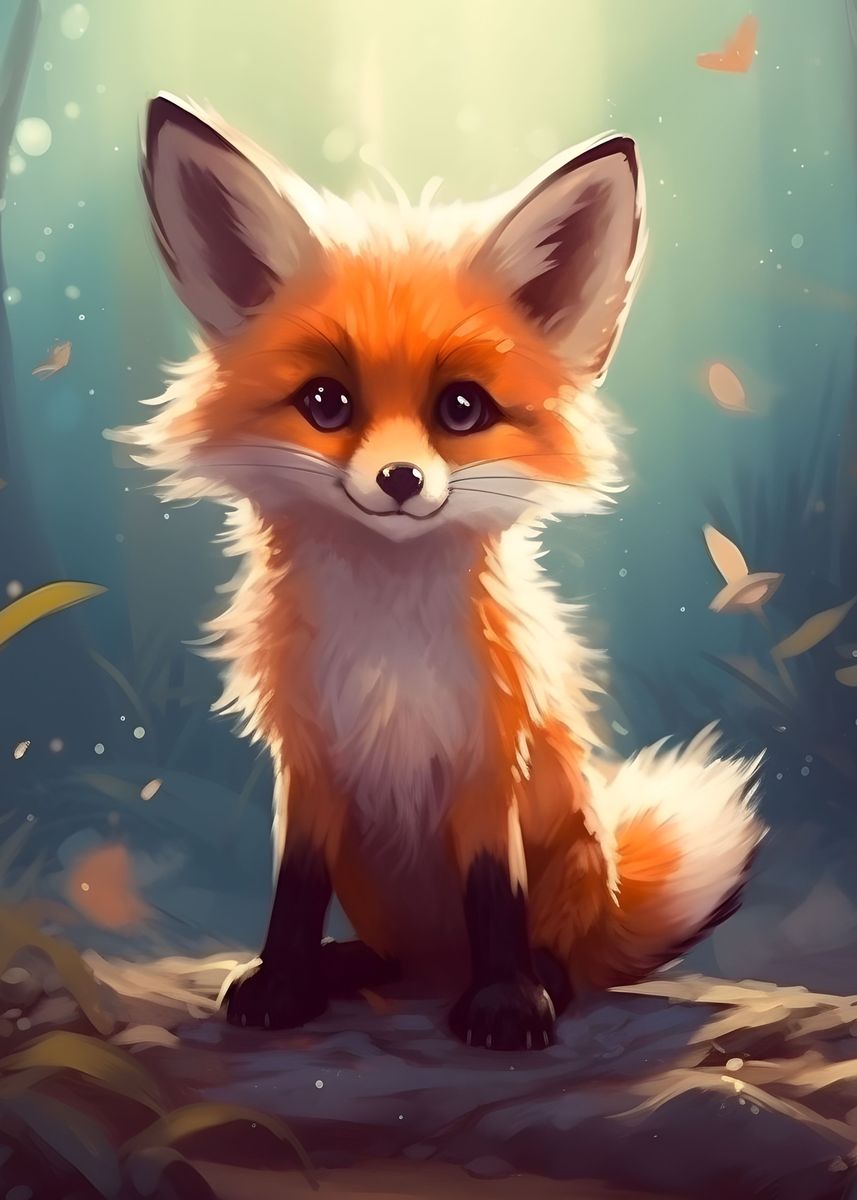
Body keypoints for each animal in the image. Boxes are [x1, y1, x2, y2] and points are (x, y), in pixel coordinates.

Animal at [113, 93, 766, 1051]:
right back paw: (351, 968)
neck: (387, 649)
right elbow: (293, 892)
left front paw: (506, 1003)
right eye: (325, 403)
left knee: (554, 951)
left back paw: (542, 978)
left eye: (461, 408)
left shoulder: (486, 763)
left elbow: (496, 898)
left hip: (569, 856)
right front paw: (284, 982)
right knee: (394, 956)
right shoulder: (310, 767)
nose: (399, 480)